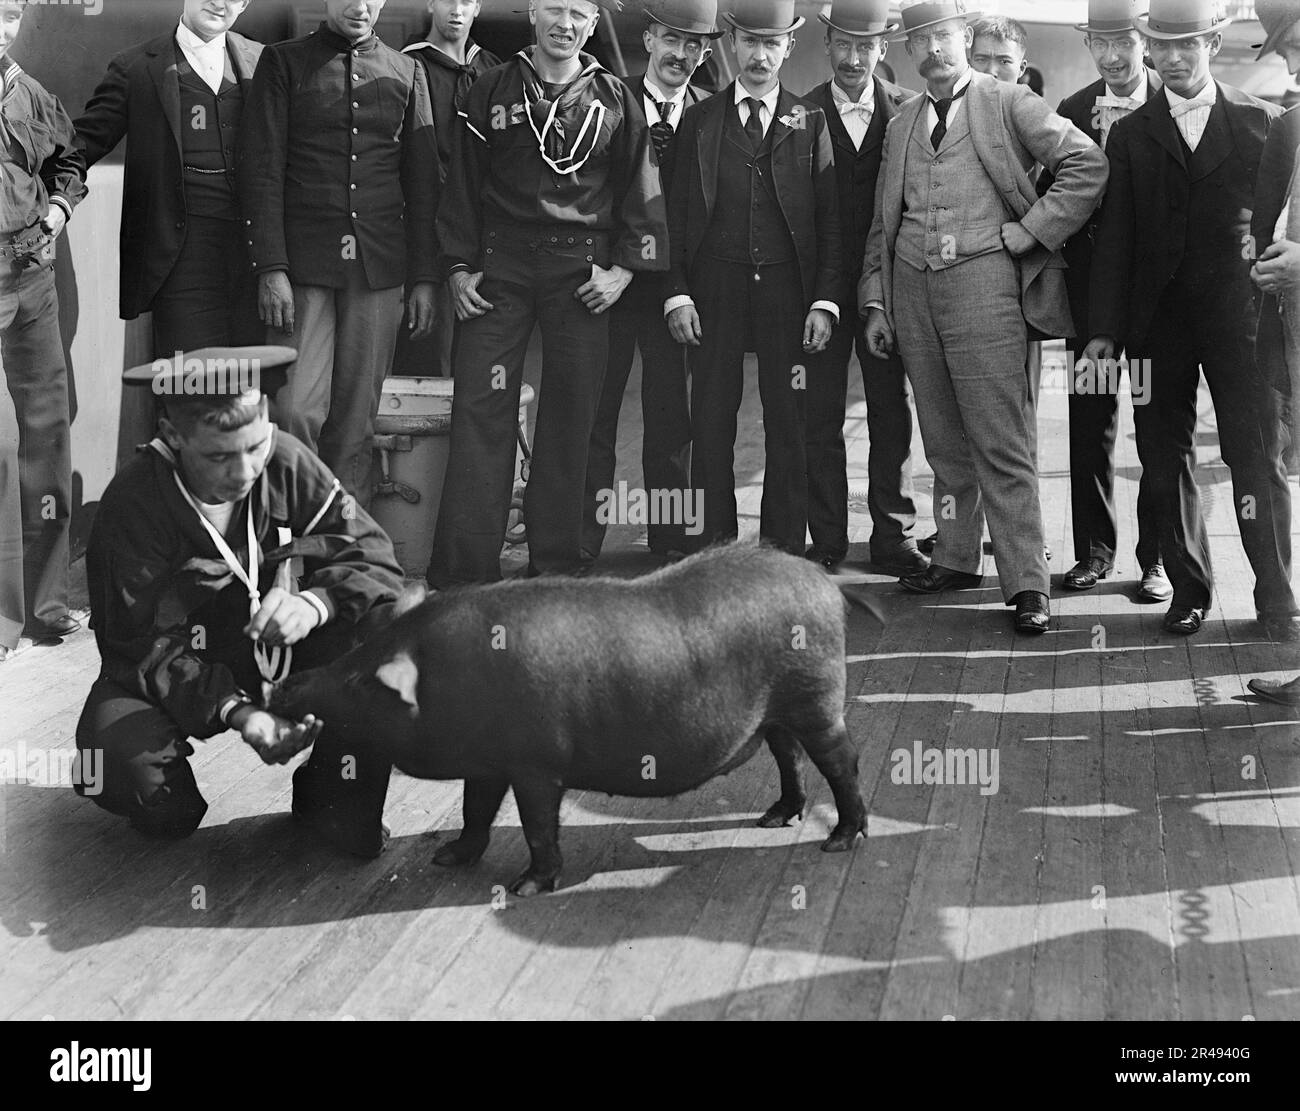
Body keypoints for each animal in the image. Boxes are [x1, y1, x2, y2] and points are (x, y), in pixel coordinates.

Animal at [267, 543, 873, 896]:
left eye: (357, 682)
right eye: (353, 653)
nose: (284, 685)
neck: (459, 675)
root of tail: (823, 582)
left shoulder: (536, 762)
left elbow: (537, 824)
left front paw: (525, 888)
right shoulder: (489, 763)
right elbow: (474, 810)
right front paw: (446, 858)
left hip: (817, 699)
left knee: (842, 762)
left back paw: (838, 842)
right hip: (777, 715)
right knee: (789, 758)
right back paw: (775, 818)